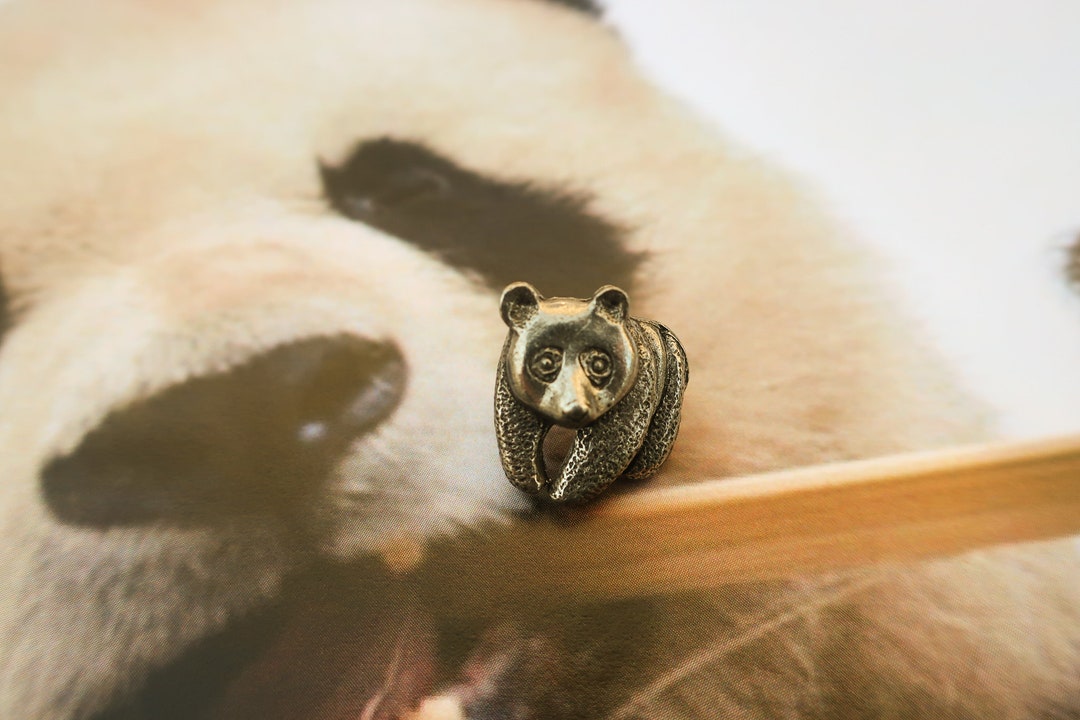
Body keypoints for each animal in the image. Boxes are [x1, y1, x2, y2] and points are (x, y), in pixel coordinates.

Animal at [495, 282, 689, 502]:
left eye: (599, 364)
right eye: (545, 362)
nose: (575, 410)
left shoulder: (635, 386)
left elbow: (606, 445)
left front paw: (561, 489)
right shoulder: (511, 383)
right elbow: (517, 431)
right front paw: (535, 480)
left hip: (673, 370)